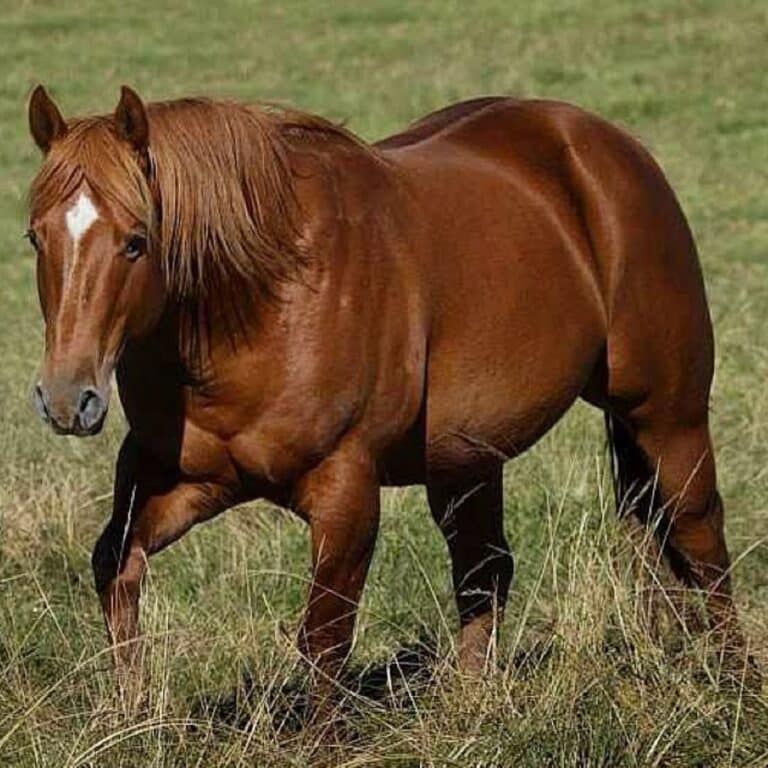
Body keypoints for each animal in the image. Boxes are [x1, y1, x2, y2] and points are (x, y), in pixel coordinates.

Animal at [26, 85, 750, 710]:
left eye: (135, 241)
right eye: (36, 236)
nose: (67, 399)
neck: (264, 303)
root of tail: (605, 146)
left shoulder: (345, 486)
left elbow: (323, 637)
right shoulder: (177, 476)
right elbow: (116, 569)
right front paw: (131, 719)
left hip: (667, 415)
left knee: (699, 536)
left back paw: (734, 681)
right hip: (468, 456)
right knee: (485, 567)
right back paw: (469, 708)